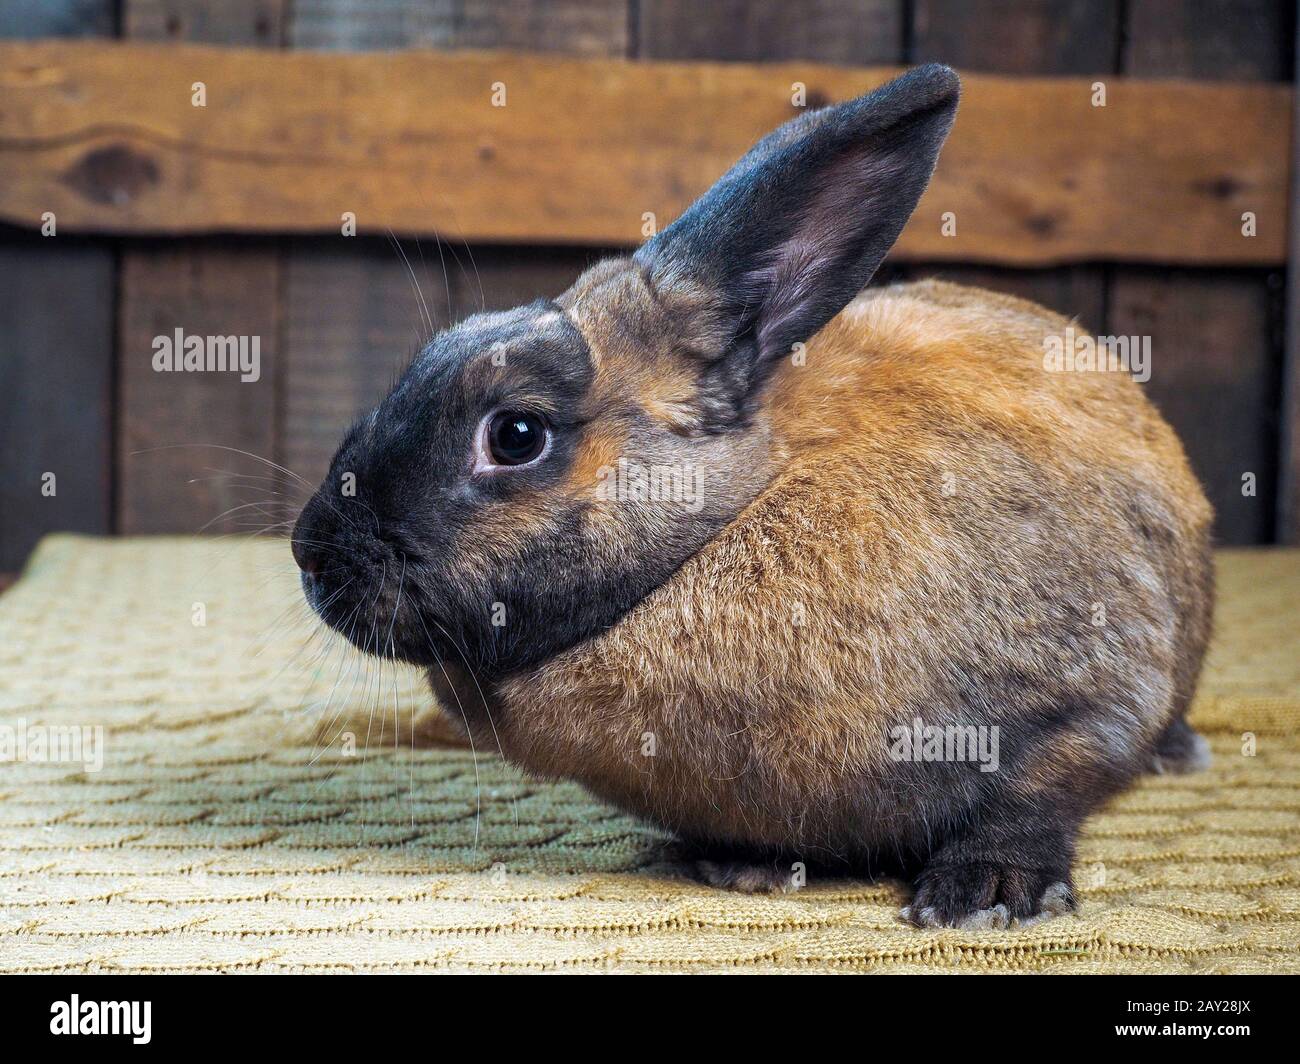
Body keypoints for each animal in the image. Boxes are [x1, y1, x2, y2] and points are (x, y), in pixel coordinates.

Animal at [292, 64, 1214, 929]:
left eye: (515, 434)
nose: (312, 553)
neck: (735, 514)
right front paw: (744, 866)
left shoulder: (1095, 690)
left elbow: (1044, 789)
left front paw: (983, 895)